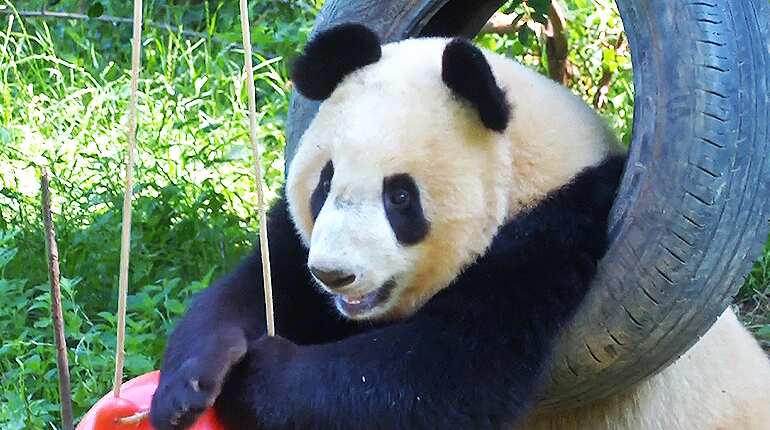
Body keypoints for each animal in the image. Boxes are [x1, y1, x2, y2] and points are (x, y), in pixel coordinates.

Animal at [149, 24, 770, 430]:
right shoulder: (300, 247)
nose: (335, 275)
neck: (533, 162)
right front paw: (187, 386)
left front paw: (259, 374)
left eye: (400, 196)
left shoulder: (554, 235)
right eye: (324, 182)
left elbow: (429, 380)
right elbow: (259, 284)